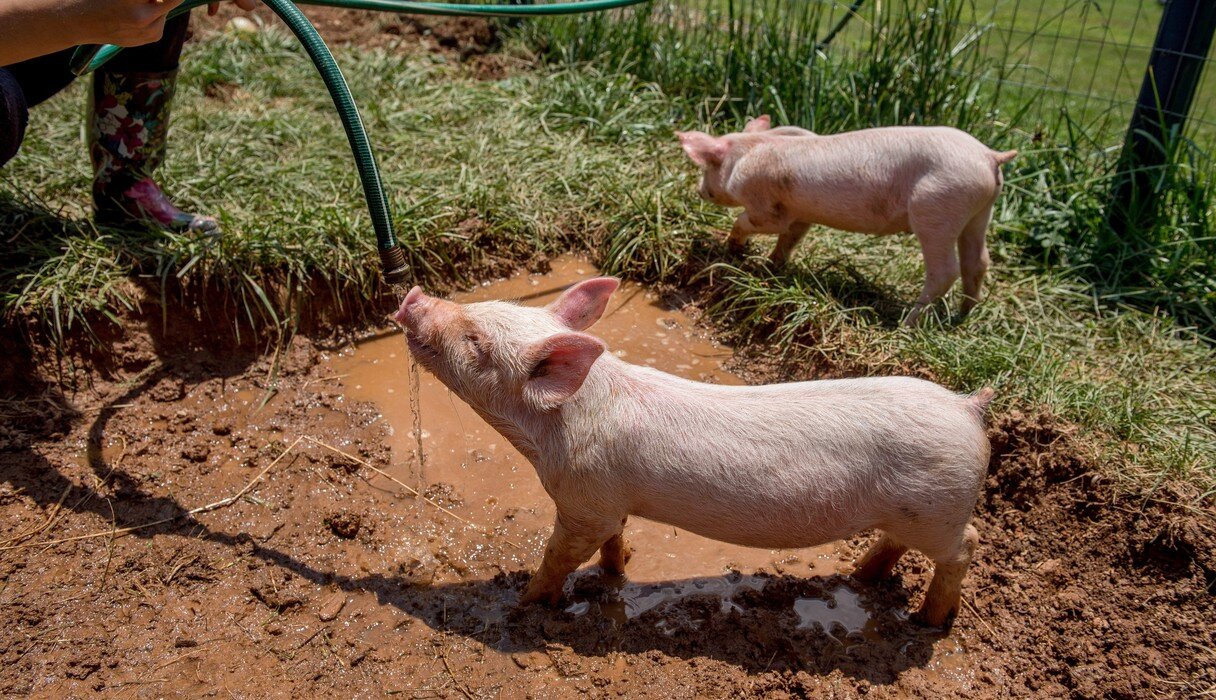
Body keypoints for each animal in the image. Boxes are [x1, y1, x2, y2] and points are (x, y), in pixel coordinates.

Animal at [393, 278, 993, 628]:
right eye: (479, 305)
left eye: (476, 343)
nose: (413, 296)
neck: (549, 433)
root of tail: (967, 406)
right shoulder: (609, 501)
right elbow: (614, 539)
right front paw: (616, 571)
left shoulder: (585, 499)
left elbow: (562, 553)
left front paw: (523, 601)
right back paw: (862, 578)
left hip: (937, 507)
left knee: (965, 547)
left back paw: (927, 622)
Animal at [677, 115, 1018, 325]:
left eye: (707, 166)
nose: (699, 190)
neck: (749, 149)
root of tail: (989, 156)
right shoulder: (803, 214)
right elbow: (791, 239)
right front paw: (771, 268)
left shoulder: (765, 204)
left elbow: (758, 223)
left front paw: (733, 251)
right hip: (979, 210)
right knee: (978, 262)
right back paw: (961, 316)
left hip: (938, 206)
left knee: (946, 271)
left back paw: (904, 325)